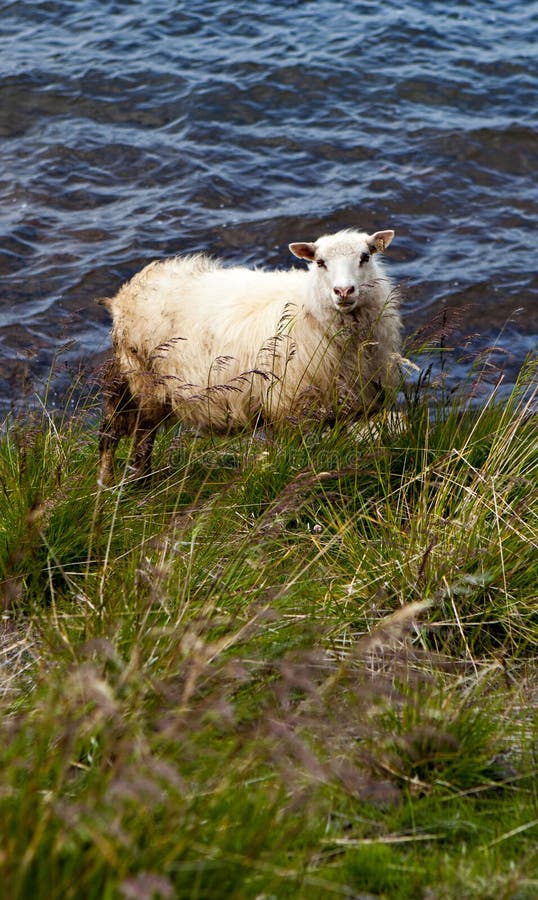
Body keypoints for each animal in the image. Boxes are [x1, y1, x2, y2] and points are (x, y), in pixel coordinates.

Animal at [98, 228, 401, 482]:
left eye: (365, 257)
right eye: (320, 262)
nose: (344, 291)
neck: (309, 306)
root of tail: (127, 293)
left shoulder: (345, 405)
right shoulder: (288, 406)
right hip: (142, 382)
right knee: (122, 435)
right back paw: (115, 483)